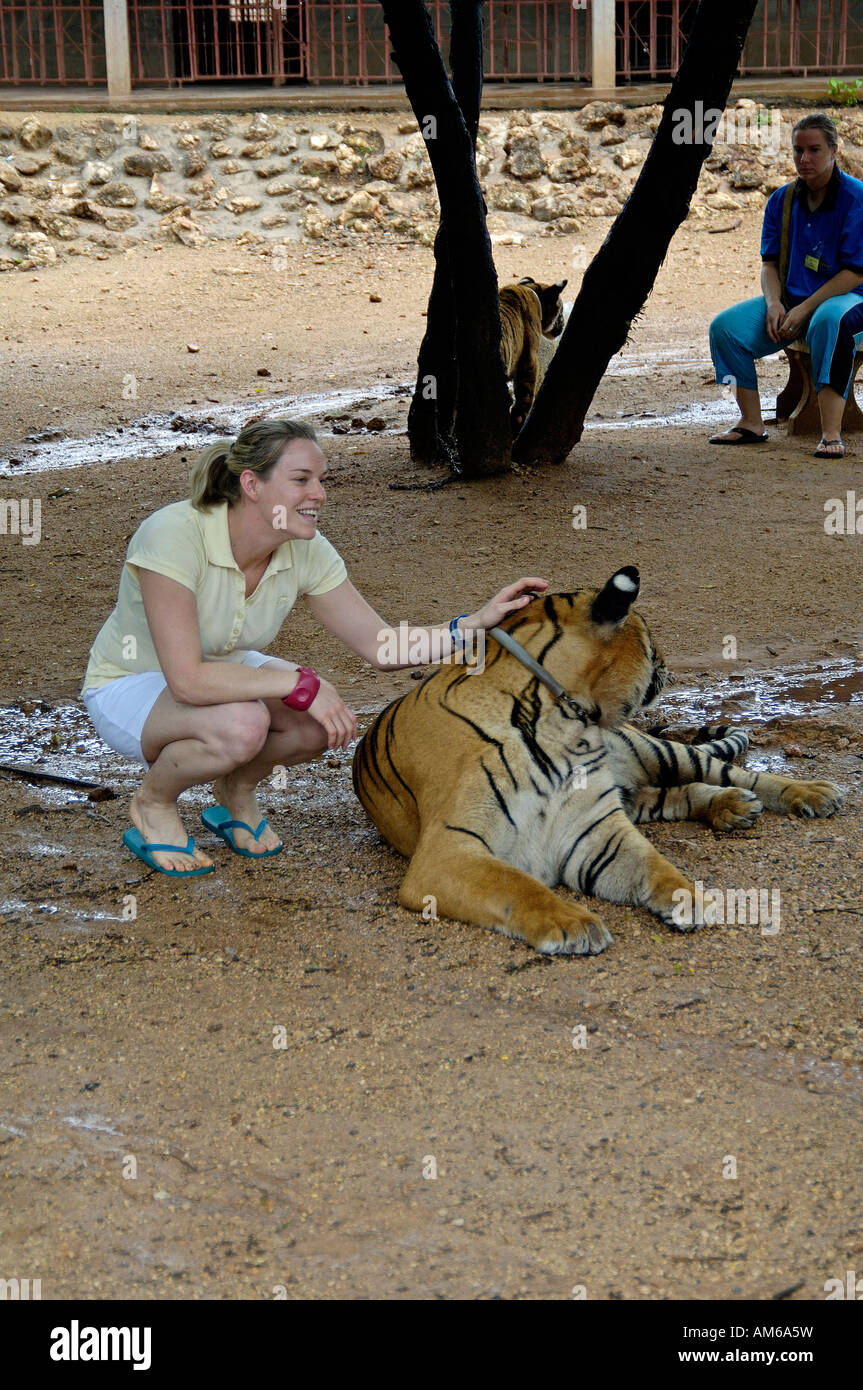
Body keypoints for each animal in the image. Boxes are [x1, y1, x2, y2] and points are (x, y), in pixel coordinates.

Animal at [352, 567, 842, 956]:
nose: (668, 665)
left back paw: (810, 793)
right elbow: (517, 886)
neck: (564, 724)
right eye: (650, 639)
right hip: (638, 791)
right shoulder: (448, 850)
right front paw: (573, 923)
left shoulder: (594, 829)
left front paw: (691, 897)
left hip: (656, 751)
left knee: (733, 772)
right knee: (681, 793)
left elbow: (656, 864)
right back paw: (732, 807)